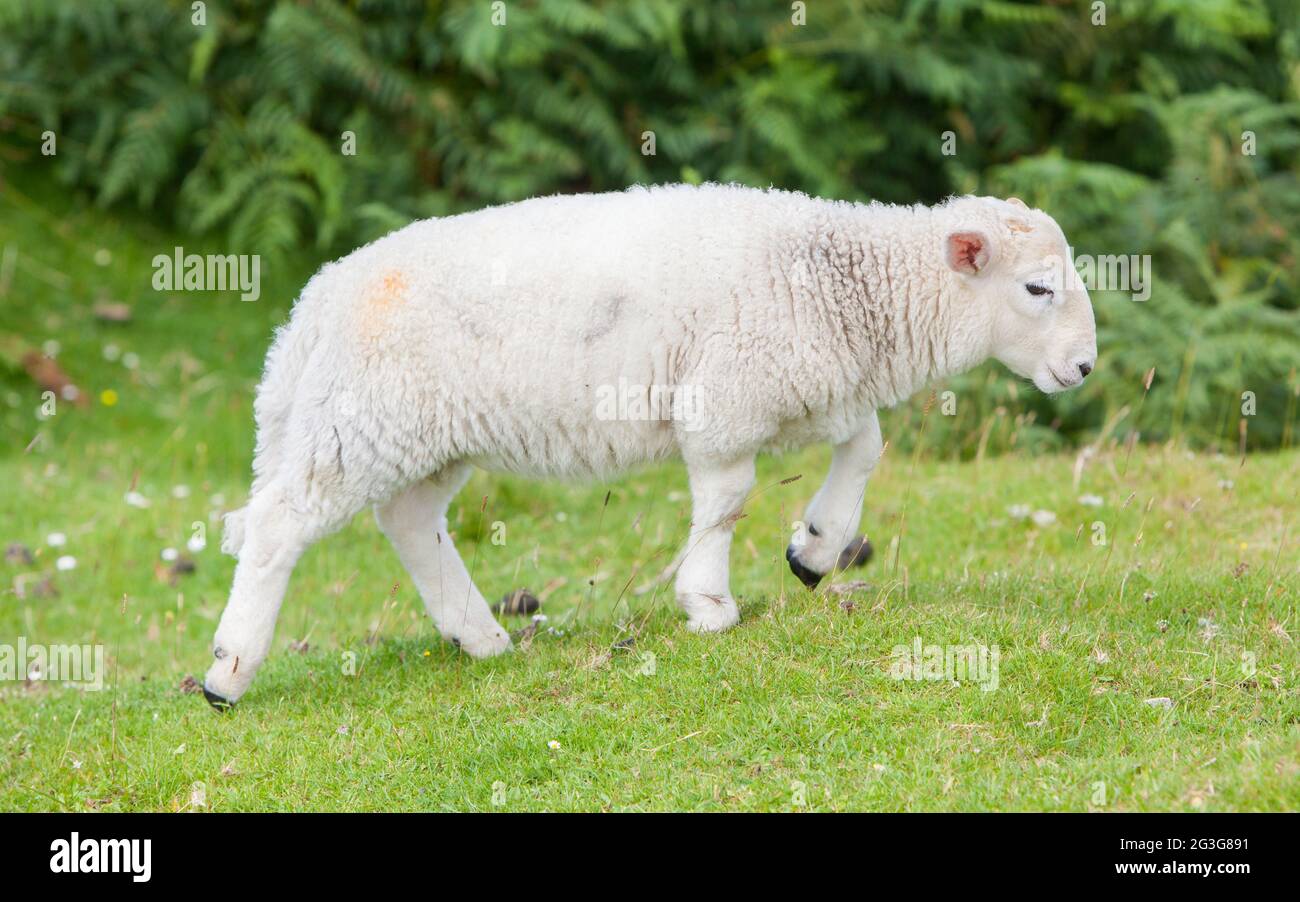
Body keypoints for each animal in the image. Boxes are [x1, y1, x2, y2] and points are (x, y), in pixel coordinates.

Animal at [202, 183, 1097, 708]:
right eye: (1037, 288)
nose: (1085, 366)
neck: (849, 290)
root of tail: (315, 305)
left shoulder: (805, 381)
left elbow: (867, 446)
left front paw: (814, 547)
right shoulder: (727, 403)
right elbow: (727, 500)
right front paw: (709, 604)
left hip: (418, 433)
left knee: (411, 521)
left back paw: (480, 636)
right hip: (359, 421)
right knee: (280, 524)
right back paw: (227, 672)